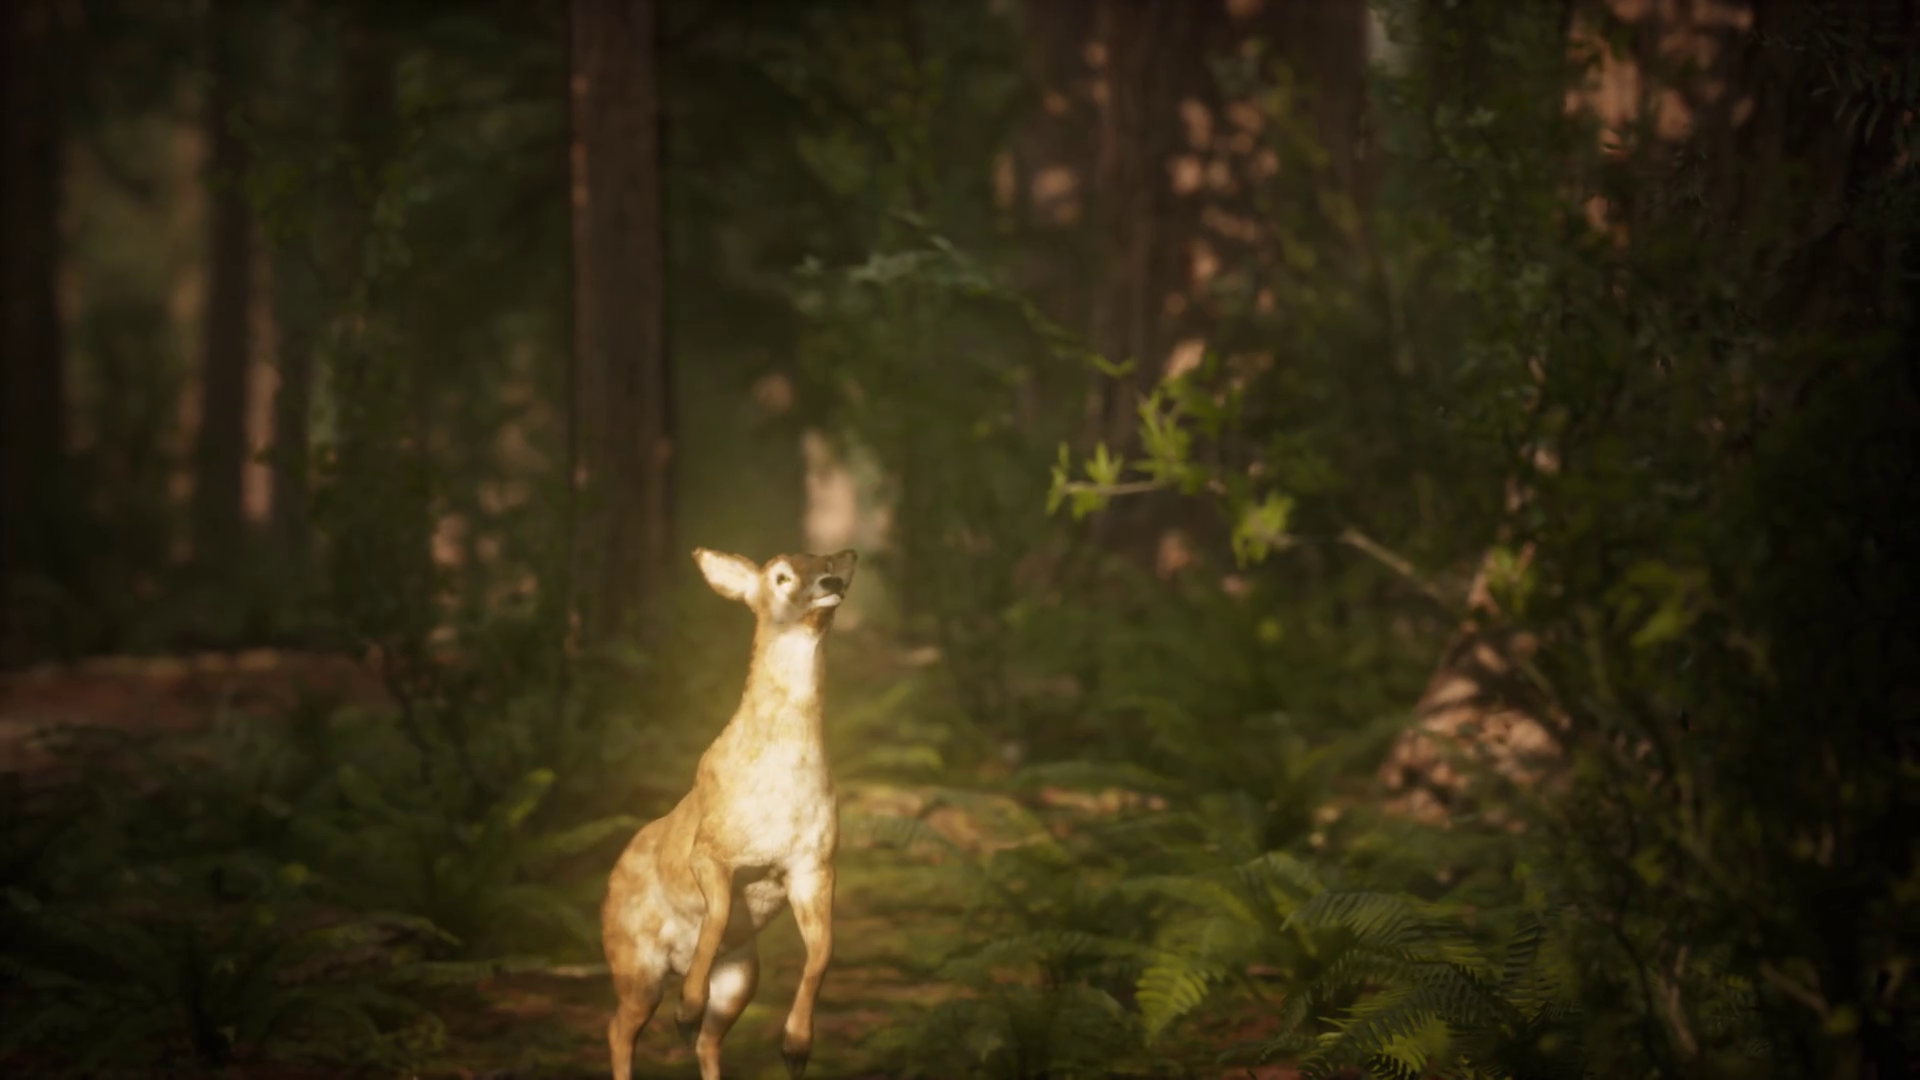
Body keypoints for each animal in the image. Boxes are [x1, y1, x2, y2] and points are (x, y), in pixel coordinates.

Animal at [602, 547, 858, 1080]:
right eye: (780, 575)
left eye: (827, 563)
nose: (830, 584)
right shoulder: (711, 850)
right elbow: (717, 916)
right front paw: (685, 1009)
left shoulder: (813, 863)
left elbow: (823, 951)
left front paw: (796, 1047)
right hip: (633, 962)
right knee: (618, 1028)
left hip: (741, 974)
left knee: (709, 1042)